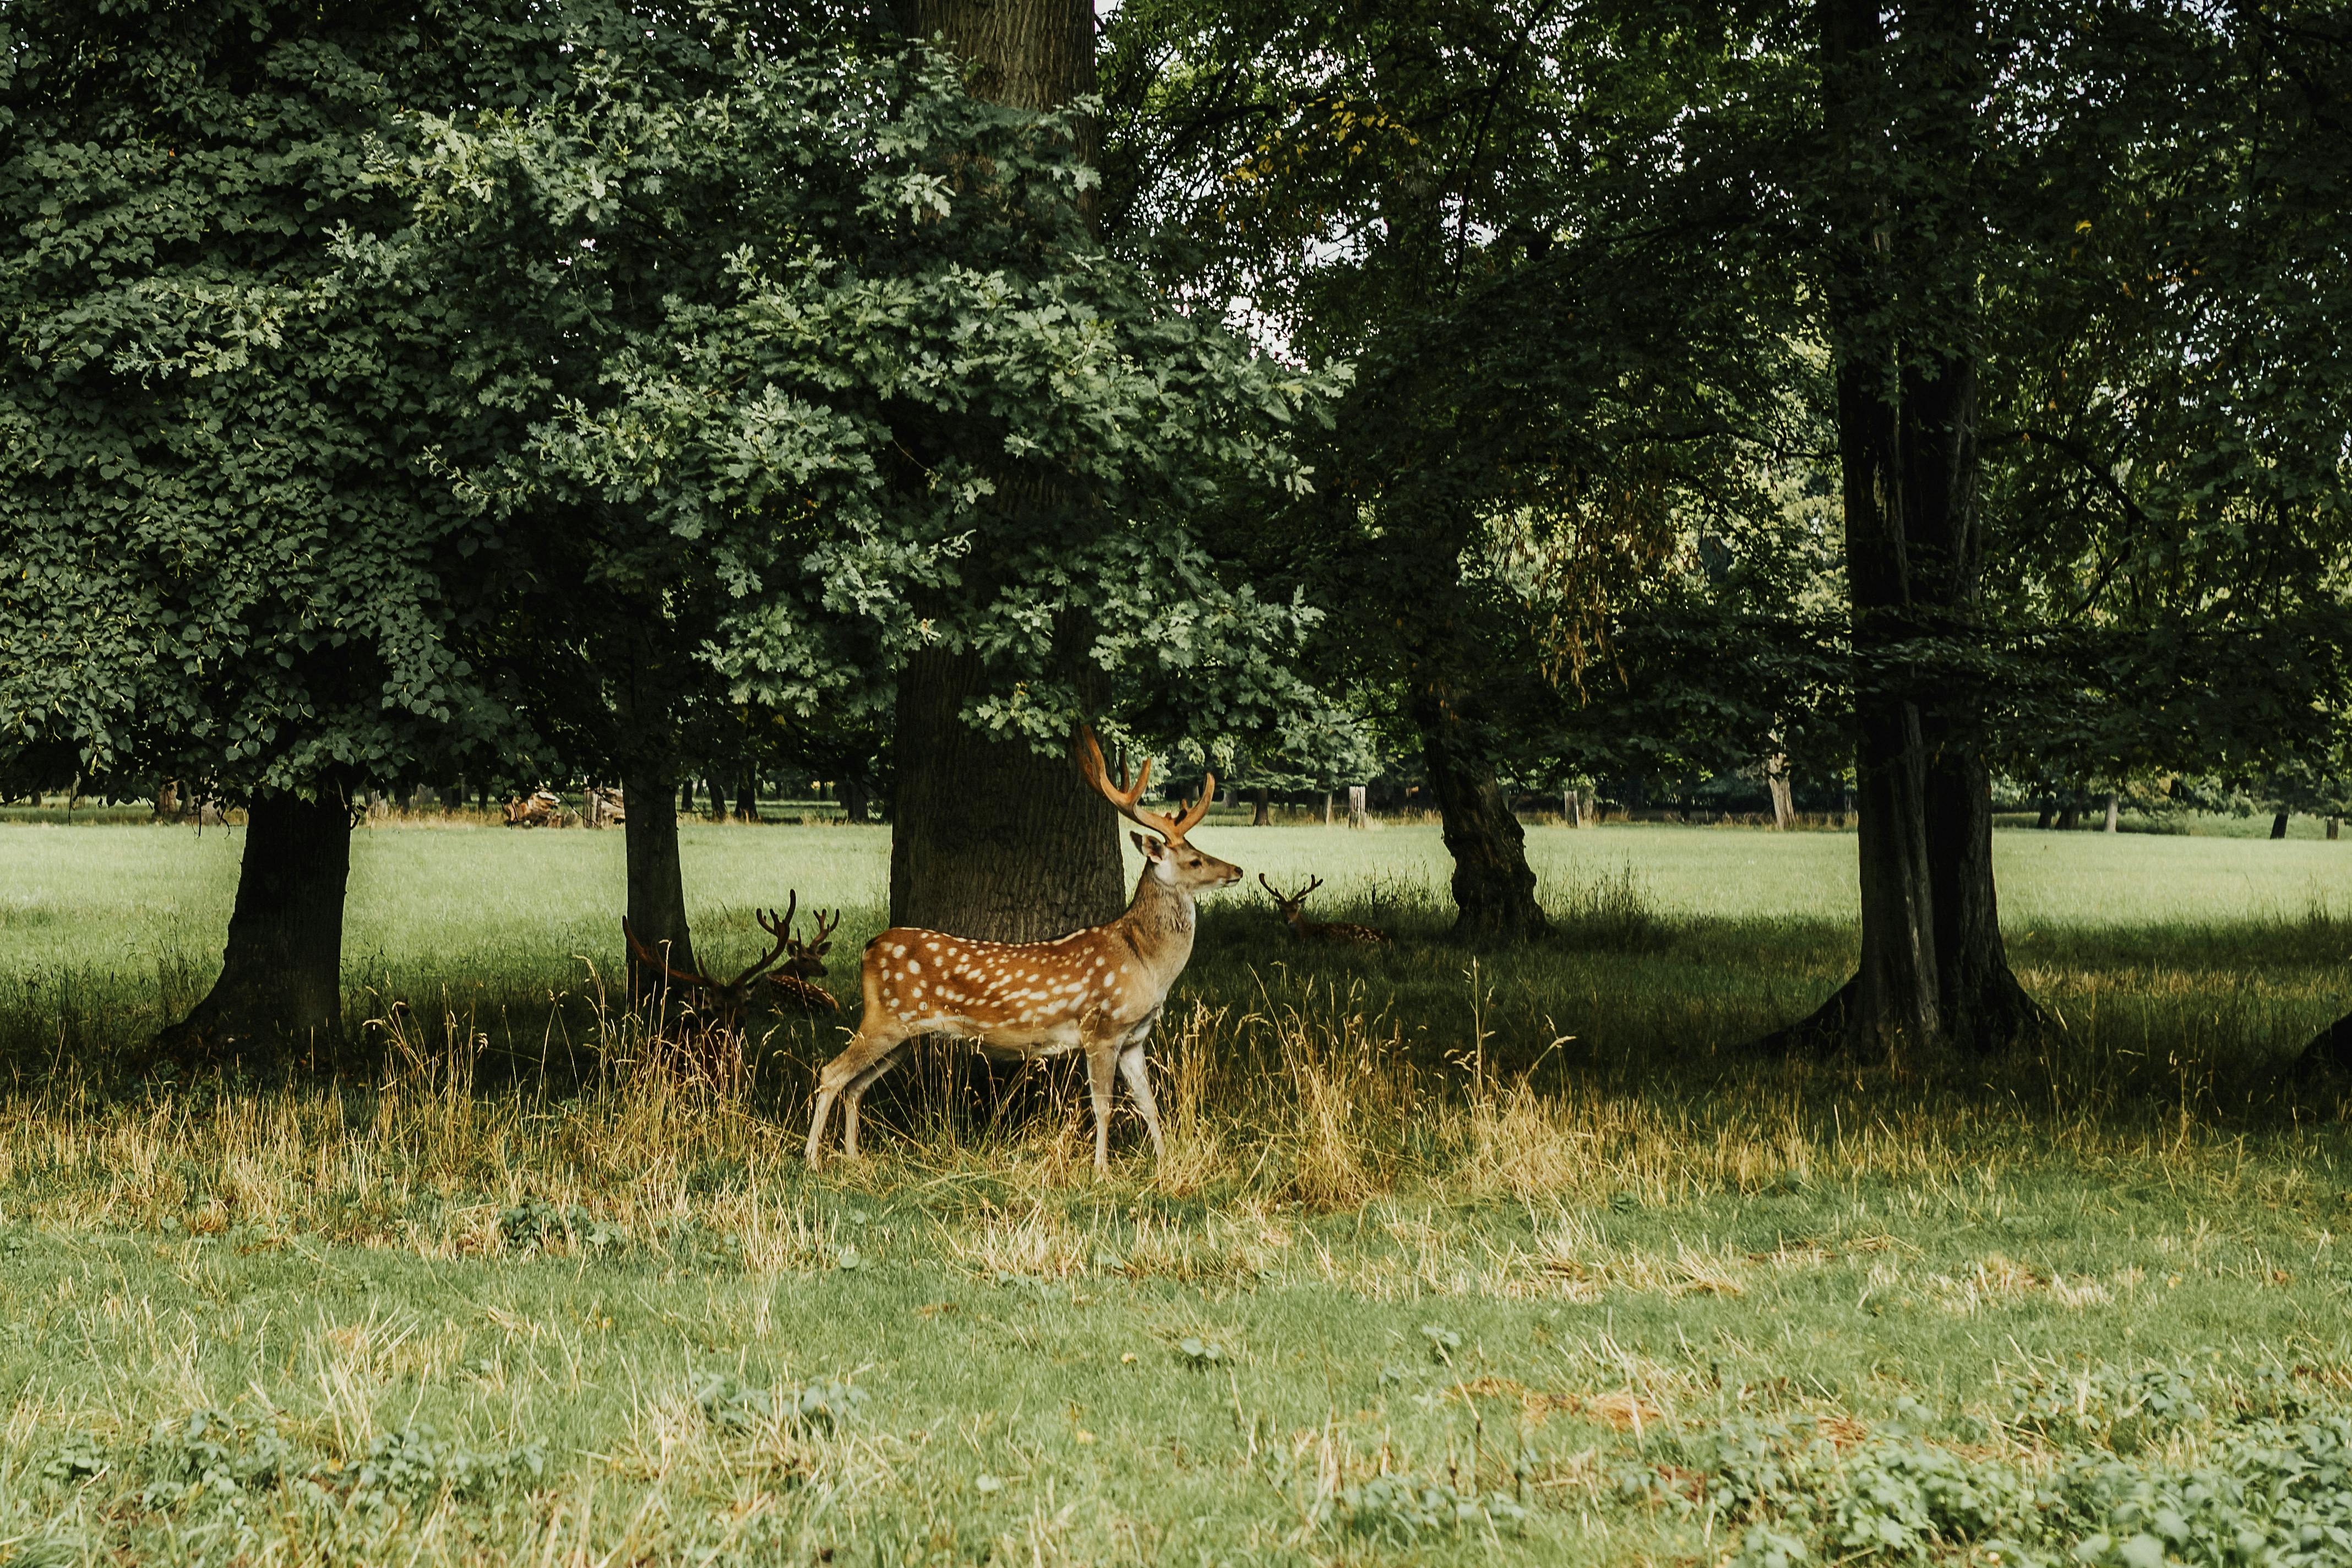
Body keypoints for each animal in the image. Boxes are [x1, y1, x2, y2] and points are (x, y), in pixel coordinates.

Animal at [805, 728, 1239, 1174]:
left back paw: (853, 1157)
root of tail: (869, 949)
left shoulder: (1134, 1036)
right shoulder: (1100, 1026)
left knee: (856, 1085)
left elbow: (1148, 1104)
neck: (1145, 962)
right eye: (1194, 860)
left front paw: (1164, 1162)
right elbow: (1103, 1106)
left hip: (906, 1036)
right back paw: (812, 1160)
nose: (1236, 870)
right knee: (831, 1073)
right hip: (886, 1019)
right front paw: (1101, 1170)